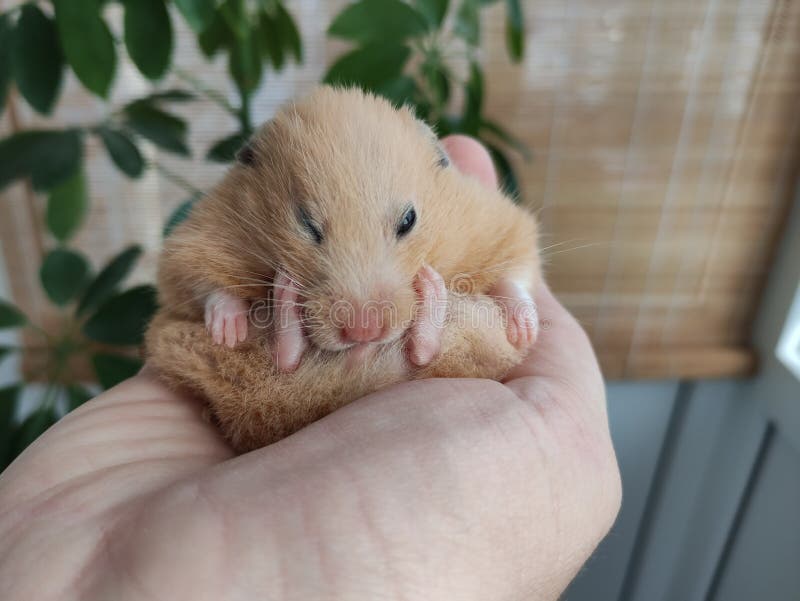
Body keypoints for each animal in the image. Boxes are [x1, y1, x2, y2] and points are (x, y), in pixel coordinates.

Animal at [146, 87, 541, 452]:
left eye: (409, 220)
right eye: (307, 223)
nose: (364, 332)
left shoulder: (496, 222)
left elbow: (516, 272)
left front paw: (525, 331)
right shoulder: (195, 238)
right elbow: (203, 284)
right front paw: (228, 329)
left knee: (424, 352)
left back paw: (432, 292)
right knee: (287, 358)